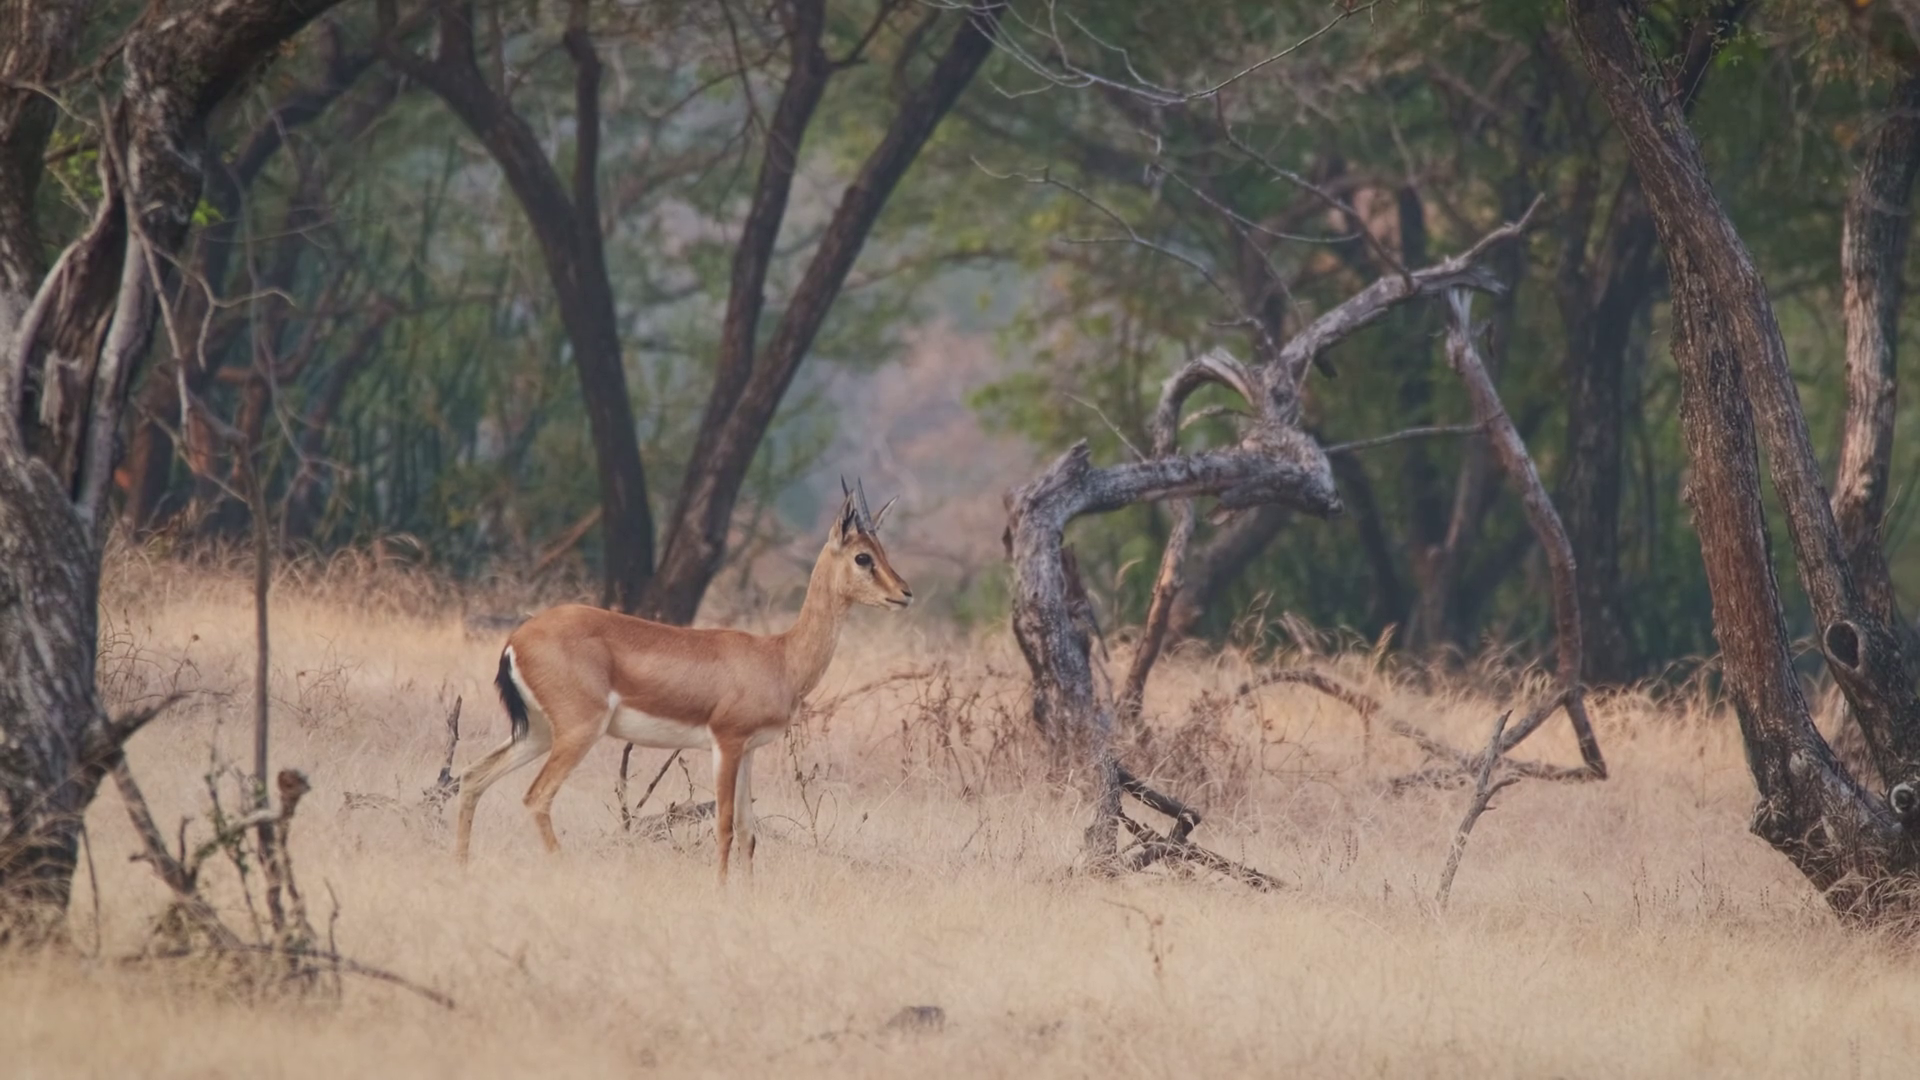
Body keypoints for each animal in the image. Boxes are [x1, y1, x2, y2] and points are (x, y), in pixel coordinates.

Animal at [456, 480, 912, 881]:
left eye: (882, 550)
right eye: (863, 557)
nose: (905, 593)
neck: (779, 656)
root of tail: (516, 639)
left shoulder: (748, 751)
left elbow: (748, 832)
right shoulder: (726, 743)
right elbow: (724, 827)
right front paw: (721, 891)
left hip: (538, 733)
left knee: (473, 777)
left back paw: (460, 865)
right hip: (577, 732)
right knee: (536, 797)